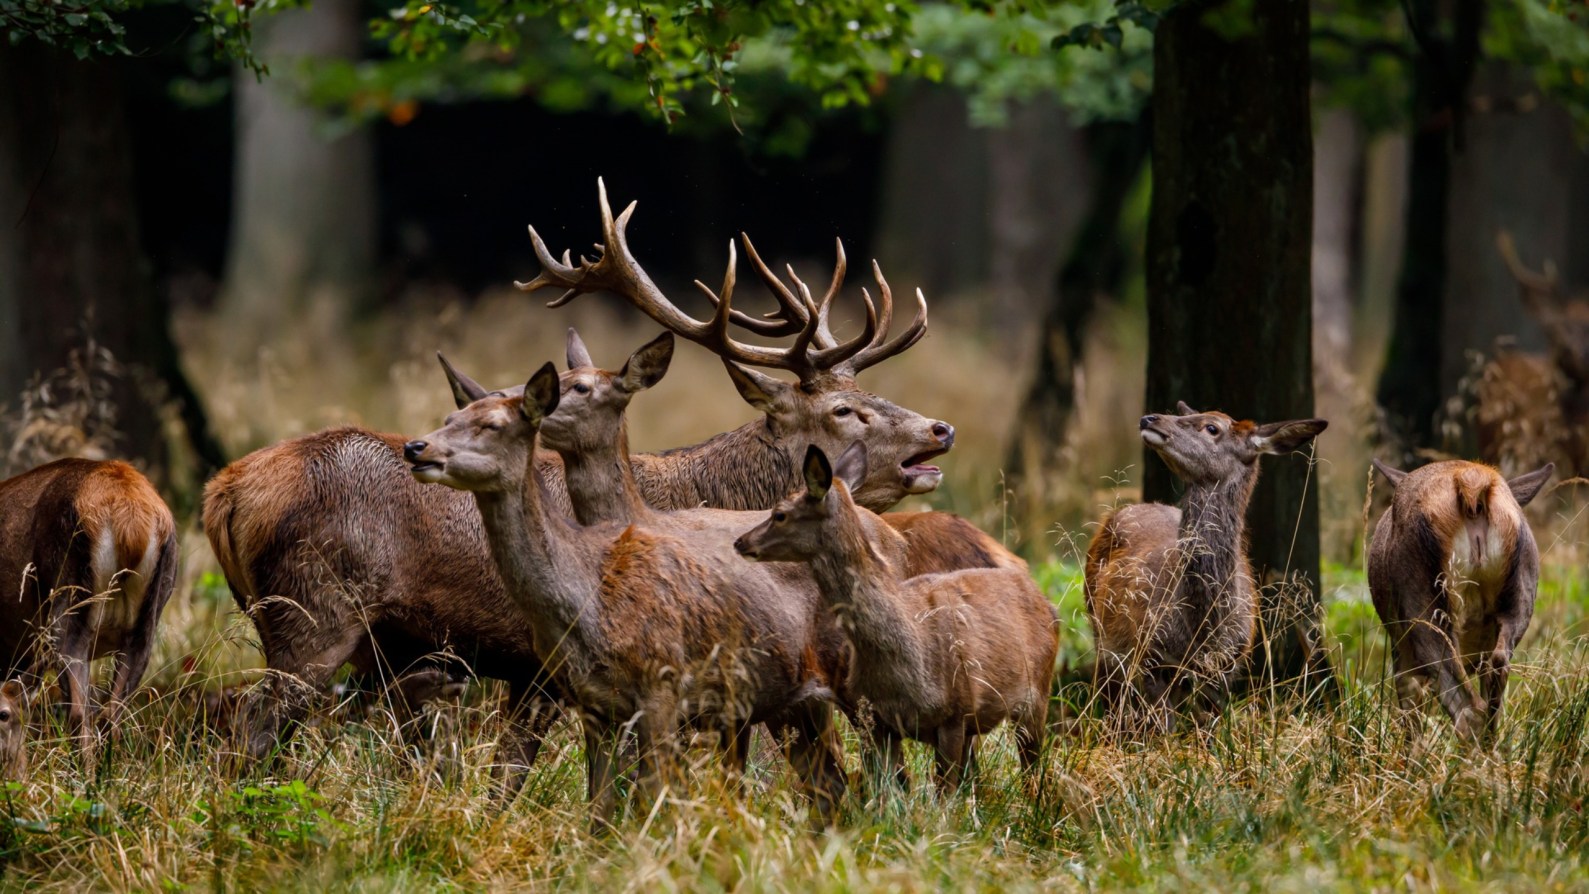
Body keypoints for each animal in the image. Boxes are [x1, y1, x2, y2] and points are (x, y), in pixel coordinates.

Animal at [406, 362, 849, 825]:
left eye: (493, 424)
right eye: (449, 418)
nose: (416, 447)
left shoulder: (663, 688)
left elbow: (655, 798)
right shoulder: (592, 704)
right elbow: (599, 807)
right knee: (830, 784)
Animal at [734, 443, 1057, 792]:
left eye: (779, 513)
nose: (740, 541)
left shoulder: (954, 715)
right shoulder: (878, 721)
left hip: (1036, 697)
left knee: (1032, 773)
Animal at [1084, 404, 1327, 732]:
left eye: (1212, 428)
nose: (1149, 418)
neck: (1202, 627)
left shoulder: (1228, 662)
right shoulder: (1150, 653)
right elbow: (1165, 729)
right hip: (1102, 632)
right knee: (1110, 697)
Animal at [1368, 458, 1552, 741]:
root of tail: (1472, 485)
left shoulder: (1401, 647)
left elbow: (1410, 706)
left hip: (1424, 606)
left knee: (1467, 708)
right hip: (1521, 594)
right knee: (1497, 669)